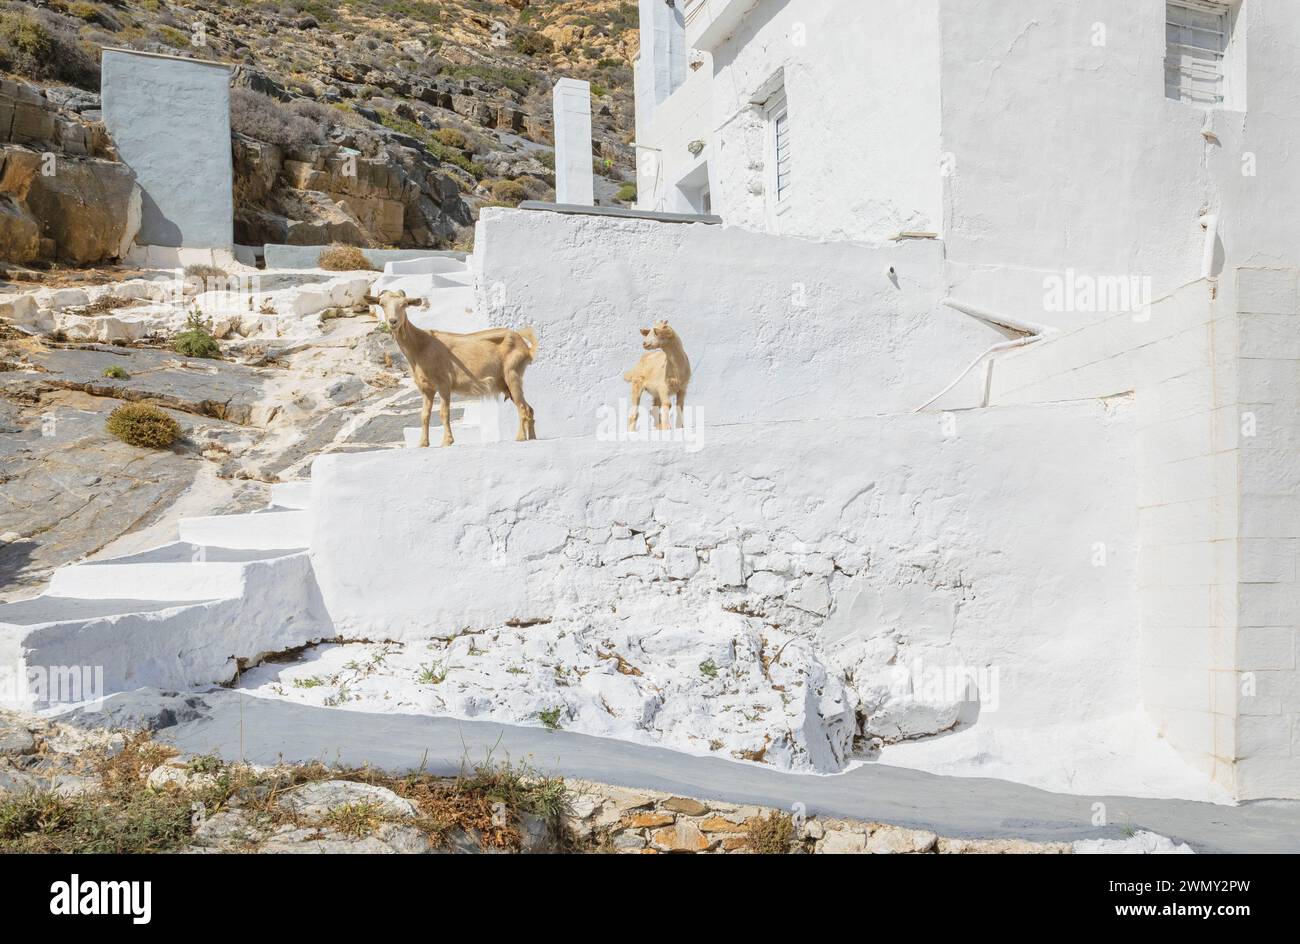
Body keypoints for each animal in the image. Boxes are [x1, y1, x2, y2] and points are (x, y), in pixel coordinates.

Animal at [366, 290, 538, 446]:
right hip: (505, 383)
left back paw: (520, 438)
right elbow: (424, 415)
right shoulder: (426, 389)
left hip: (512, 374)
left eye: (404, 304)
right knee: (530, 409)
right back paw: (532, 437)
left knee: (523, 408)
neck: (420, 346)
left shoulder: (444, 383)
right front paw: (423, 443)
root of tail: (526, 347)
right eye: (382, 304)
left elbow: (444, 413)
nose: (393, 321)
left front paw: (447, 441)